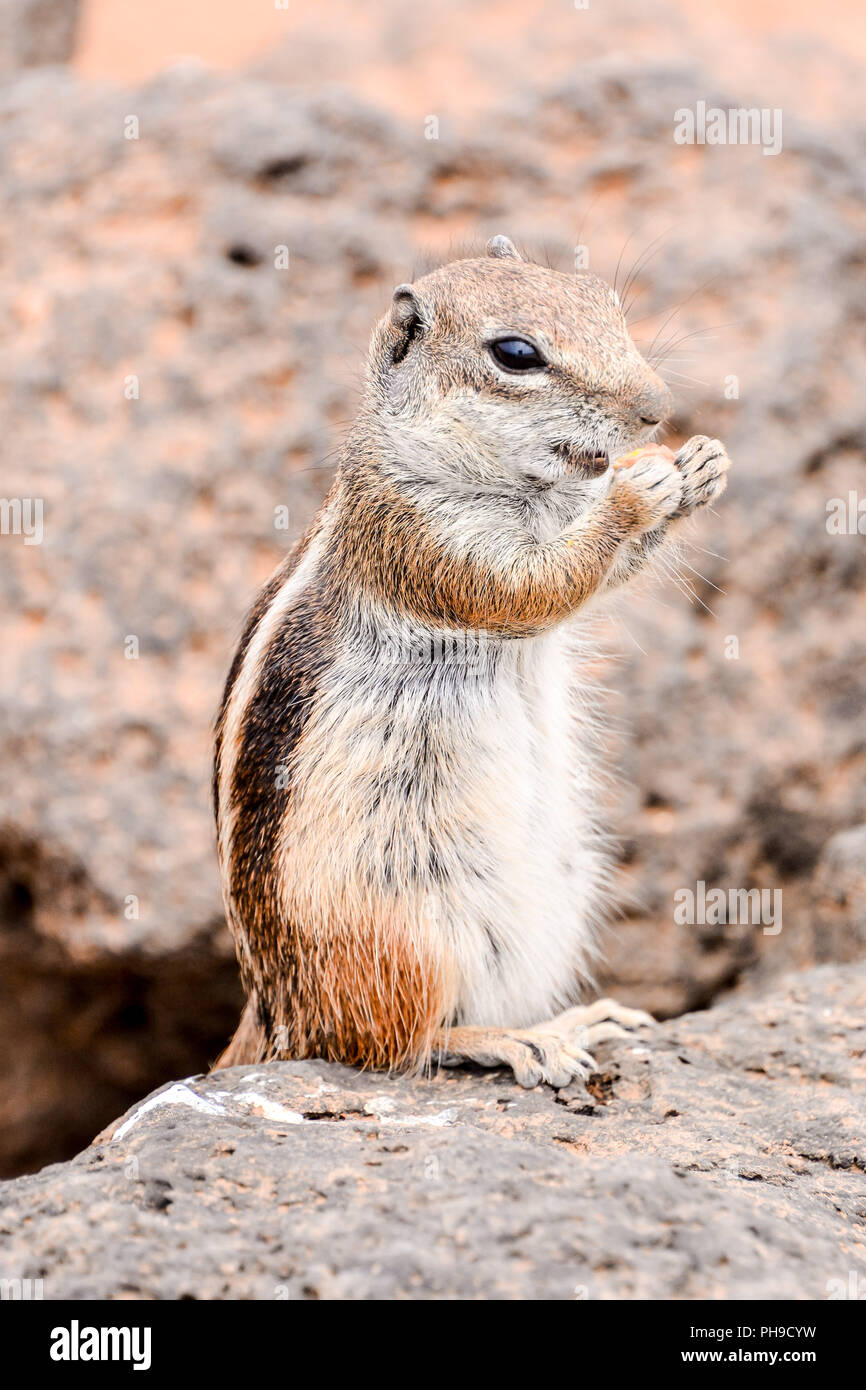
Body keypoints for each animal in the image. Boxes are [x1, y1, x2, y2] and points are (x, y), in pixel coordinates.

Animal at [212, 235, 730, 1088]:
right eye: (515, 355)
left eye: (607, 302)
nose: (656, 407)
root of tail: (274, 1015)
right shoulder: (427, 543)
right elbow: (539, 585)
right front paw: (638, 491)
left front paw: (700, 465)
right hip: (407, 942)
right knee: (387, 1045)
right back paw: (517, 1041)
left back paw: (576, 1018)